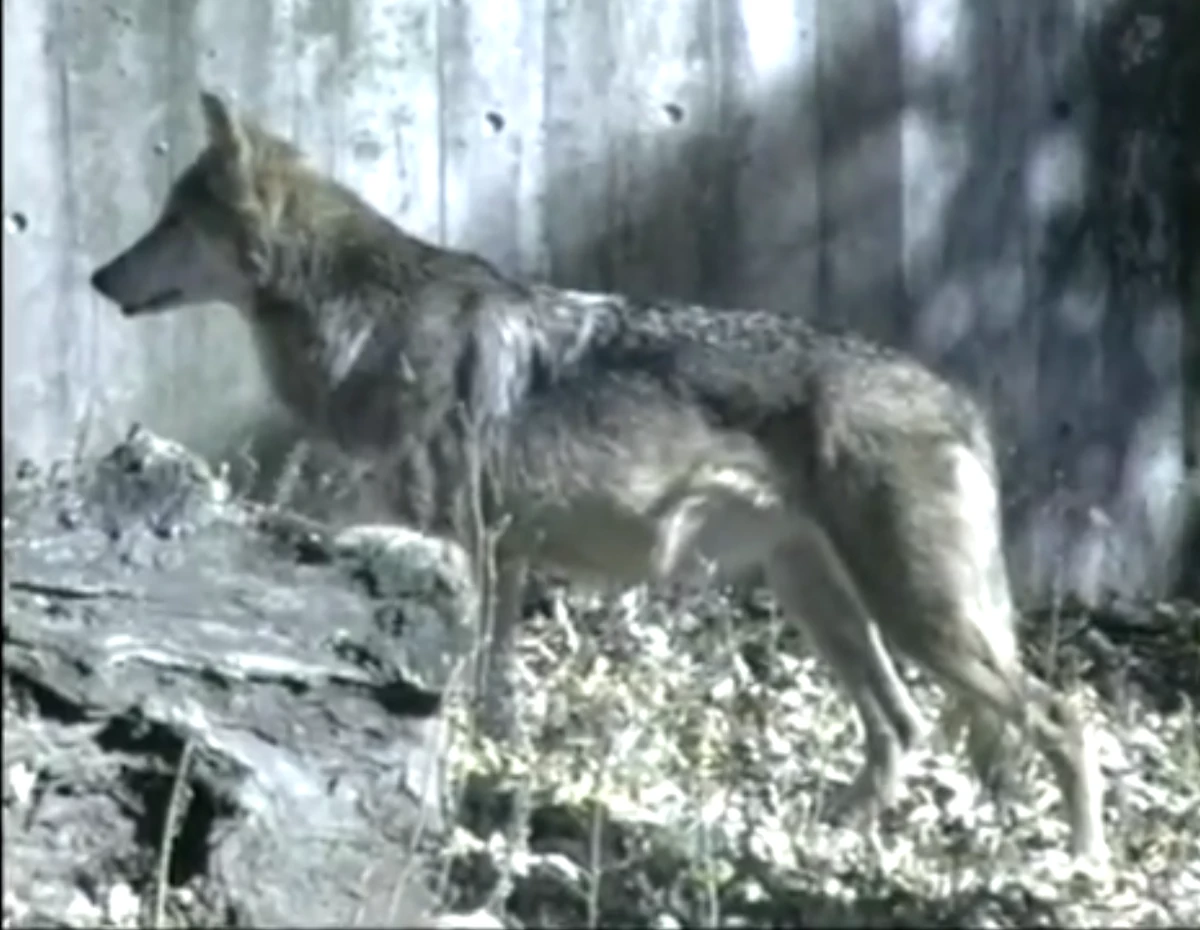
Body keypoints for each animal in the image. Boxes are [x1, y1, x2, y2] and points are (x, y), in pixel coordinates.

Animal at [90, 90, 1108, 862]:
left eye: (171, 222)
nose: (98, 277)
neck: (361, 323)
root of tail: (958, 398)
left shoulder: (472, 550)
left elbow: (469, 690)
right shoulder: (492, 561)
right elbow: (492, 698)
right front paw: (489, 778)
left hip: (914, 615)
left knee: (1060, 718)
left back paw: (1079, 861)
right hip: (826, 602)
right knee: (902, 726)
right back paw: (835, 835)